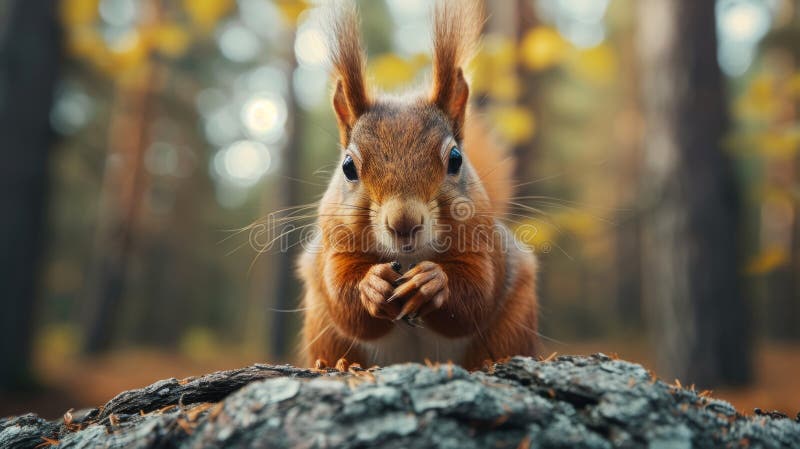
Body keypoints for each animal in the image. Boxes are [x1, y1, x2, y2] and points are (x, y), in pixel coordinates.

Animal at [298, 0, 538, 370]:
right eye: (348, 167)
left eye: (455, 158)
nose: (404, 223)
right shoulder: (334, 243)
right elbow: (341, 294)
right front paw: (371, 286)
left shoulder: (486, 245)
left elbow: (478, 293)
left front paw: (432, 283)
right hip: (322, 327)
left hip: (514, 319)